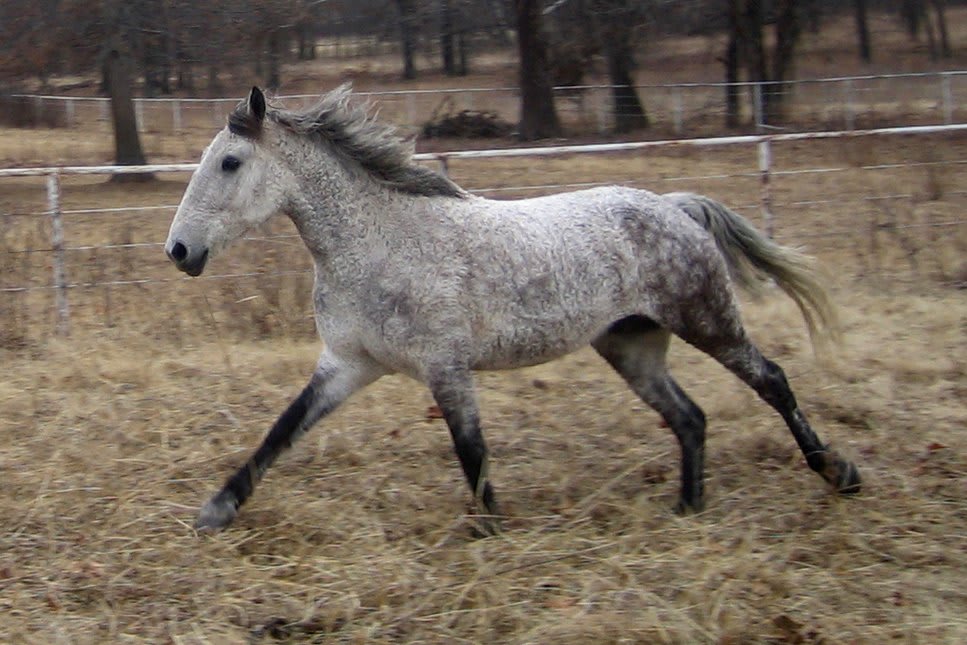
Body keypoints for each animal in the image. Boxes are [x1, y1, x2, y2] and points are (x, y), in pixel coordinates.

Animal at [165, 85, 860, 534]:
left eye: (230, 162)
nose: (179, 251)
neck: (380, 242)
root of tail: (673, 206)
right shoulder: (347, 364)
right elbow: (282, 430)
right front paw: (216, 511)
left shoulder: (446, 368)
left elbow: (471, 450)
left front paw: (492, 531)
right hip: (631, 346)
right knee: (689, 418)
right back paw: (688, 509)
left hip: (707, 320)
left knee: (772, 380)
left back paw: (839, 473)